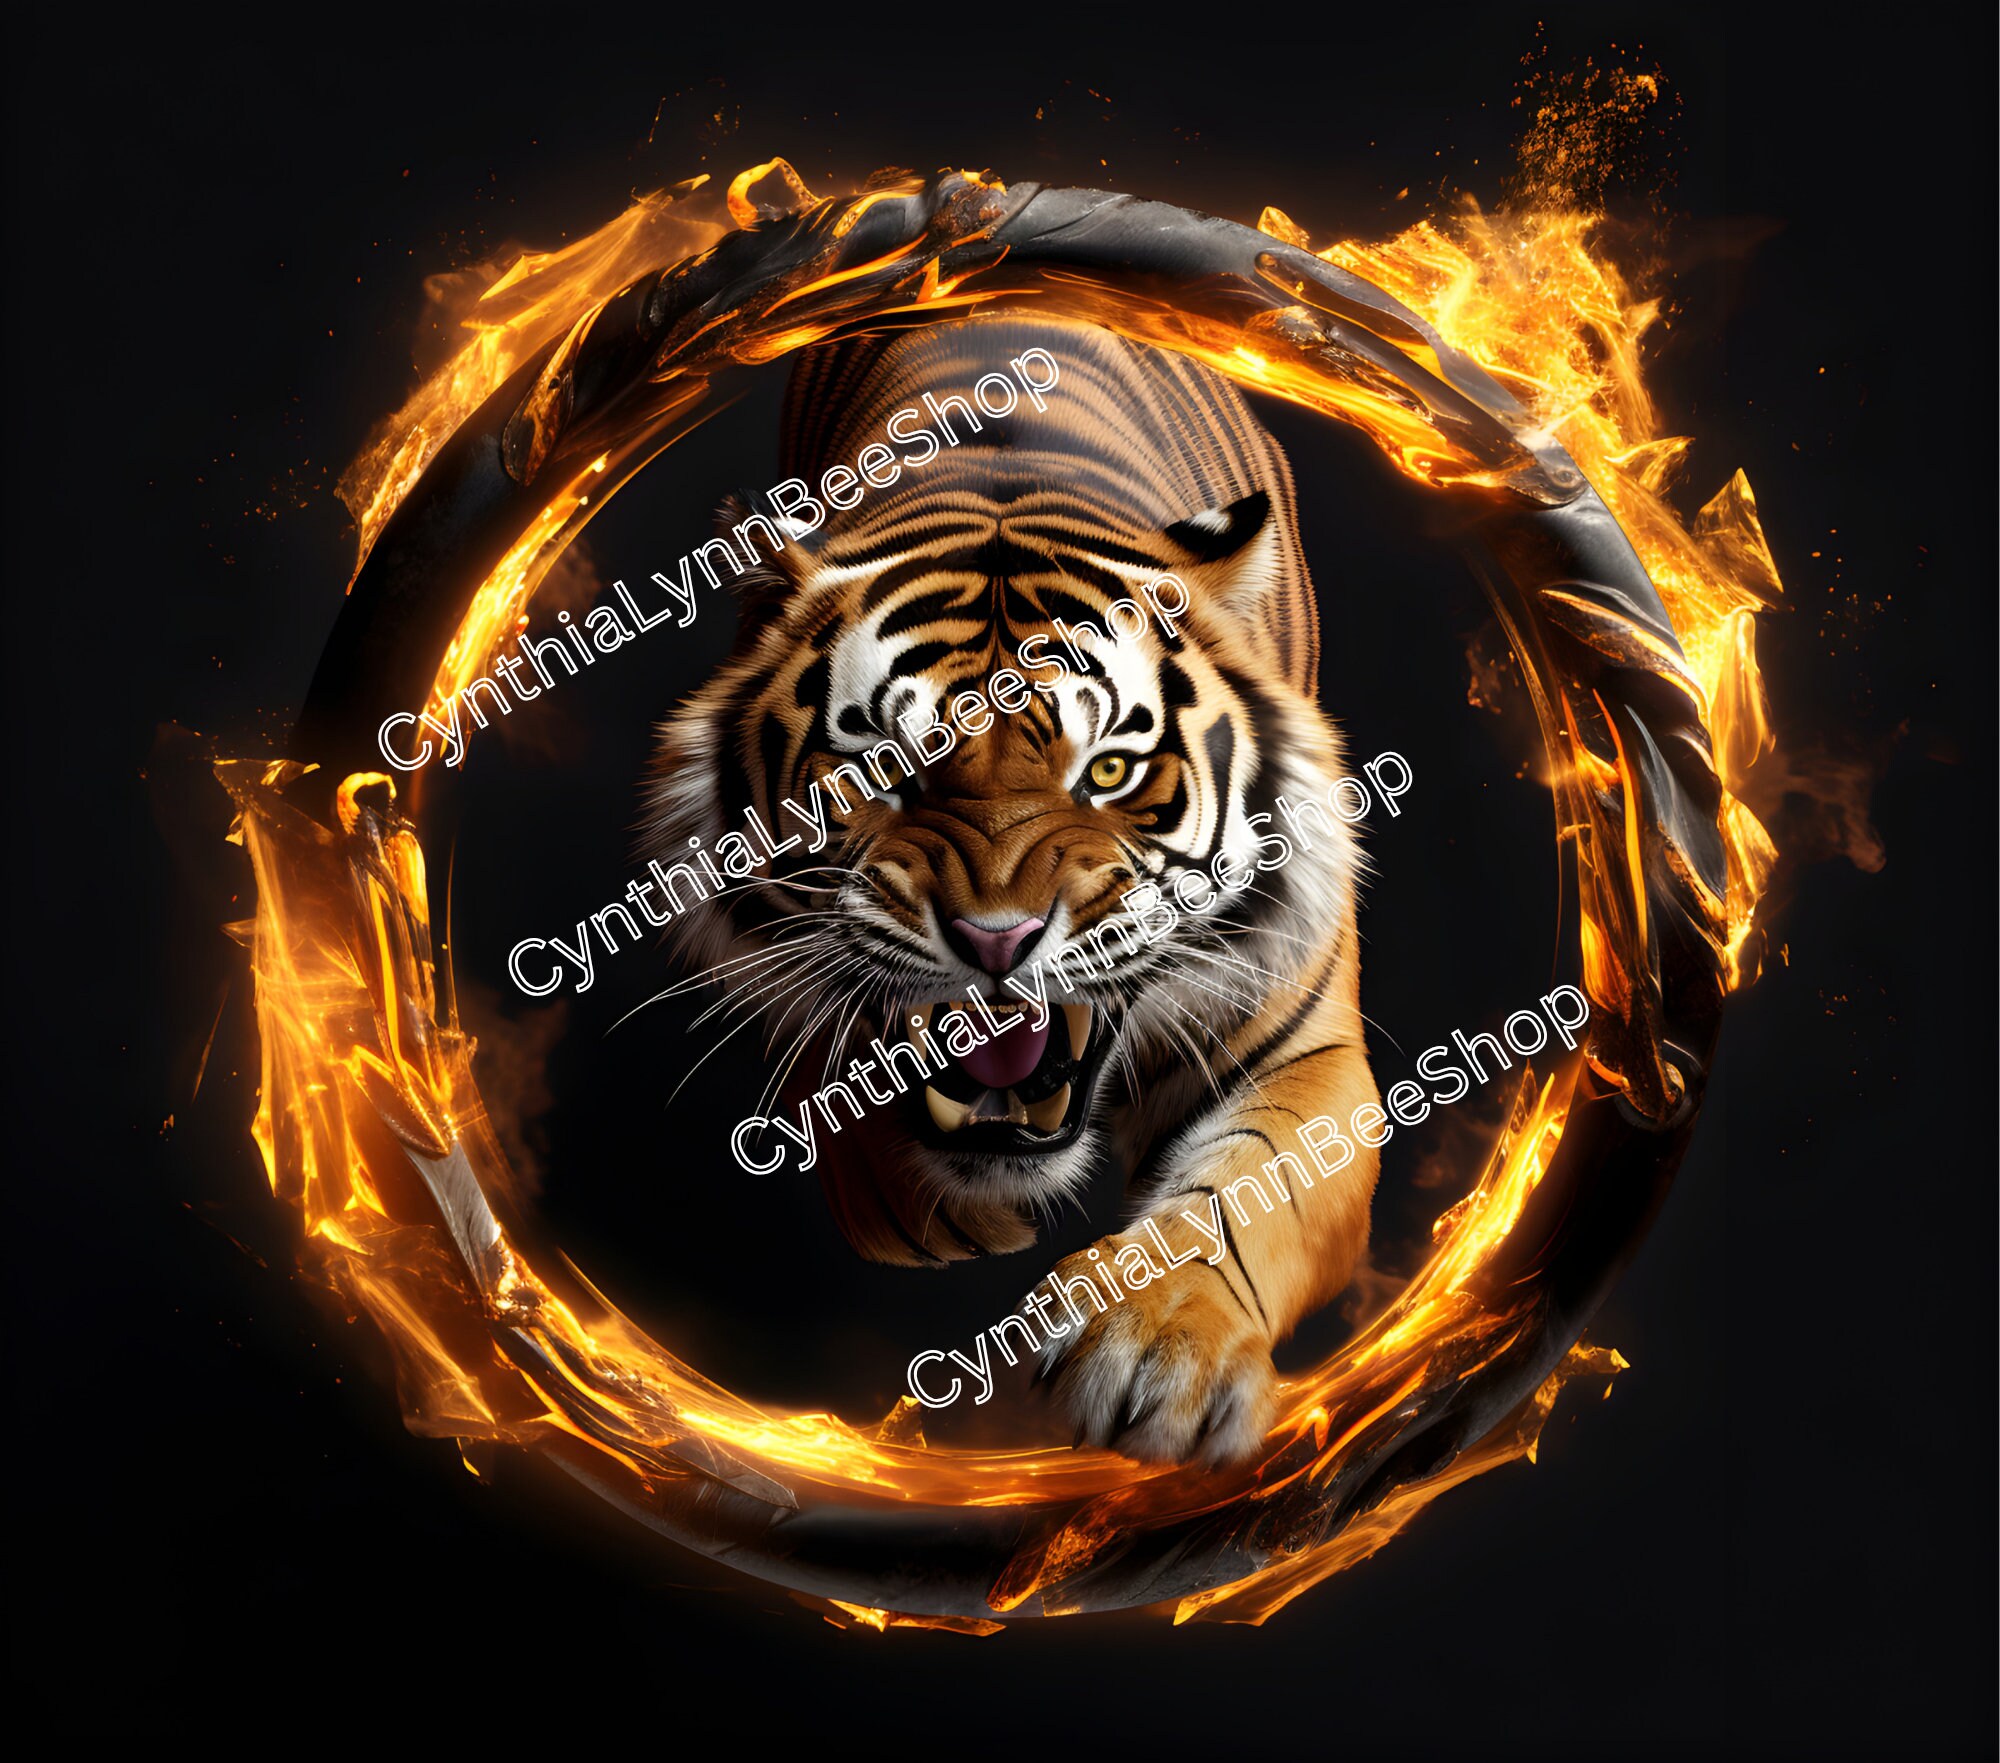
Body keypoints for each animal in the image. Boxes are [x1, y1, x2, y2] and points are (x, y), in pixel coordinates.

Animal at [642, 316, 1380, 1467]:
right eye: (882, 769)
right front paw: (923, 1207)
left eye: (1108, 771)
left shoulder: (1307, 1050)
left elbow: (1250, 1188)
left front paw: (1156, 1347)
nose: (997, 940)